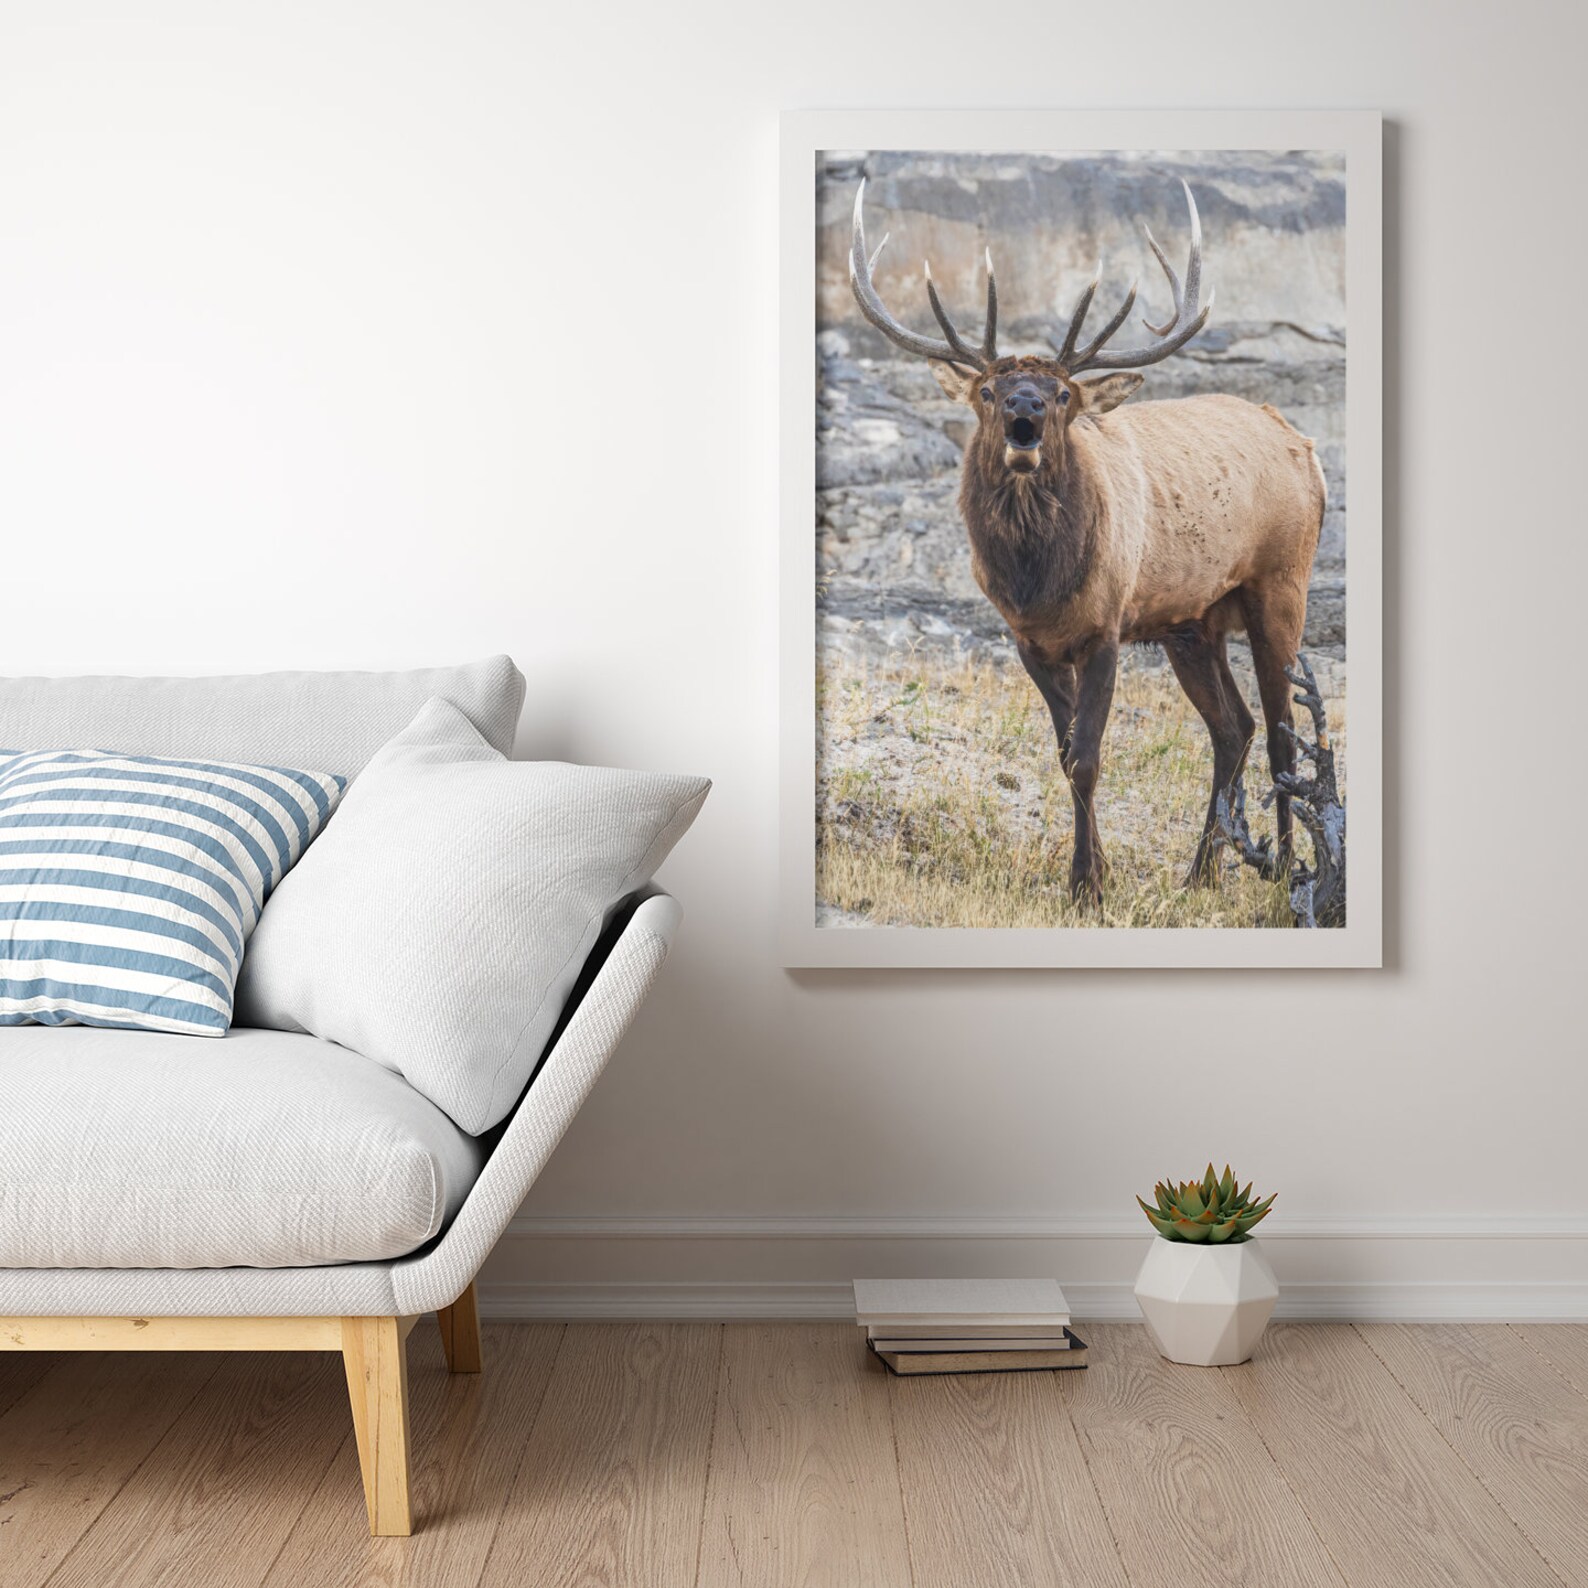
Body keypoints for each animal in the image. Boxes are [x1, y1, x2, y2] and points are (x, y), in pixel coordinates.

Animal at [848, 177, 1327, 906]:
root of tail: (1306, 447)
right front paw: (1095, 873)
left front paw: (1087, 885)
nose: (1024, 410)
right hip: (1192, 623)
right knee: (1234, 727)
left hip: (1281, 582)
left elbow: (1087, 758)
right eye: (986, 389)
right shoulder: (1029, 641)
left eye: (1064, 393)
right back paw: (1200, 874)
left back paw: (1284, 878)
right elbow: (1064, 751)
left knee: (1282, 736)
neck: (1037, 583)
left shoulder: (1106, 627)